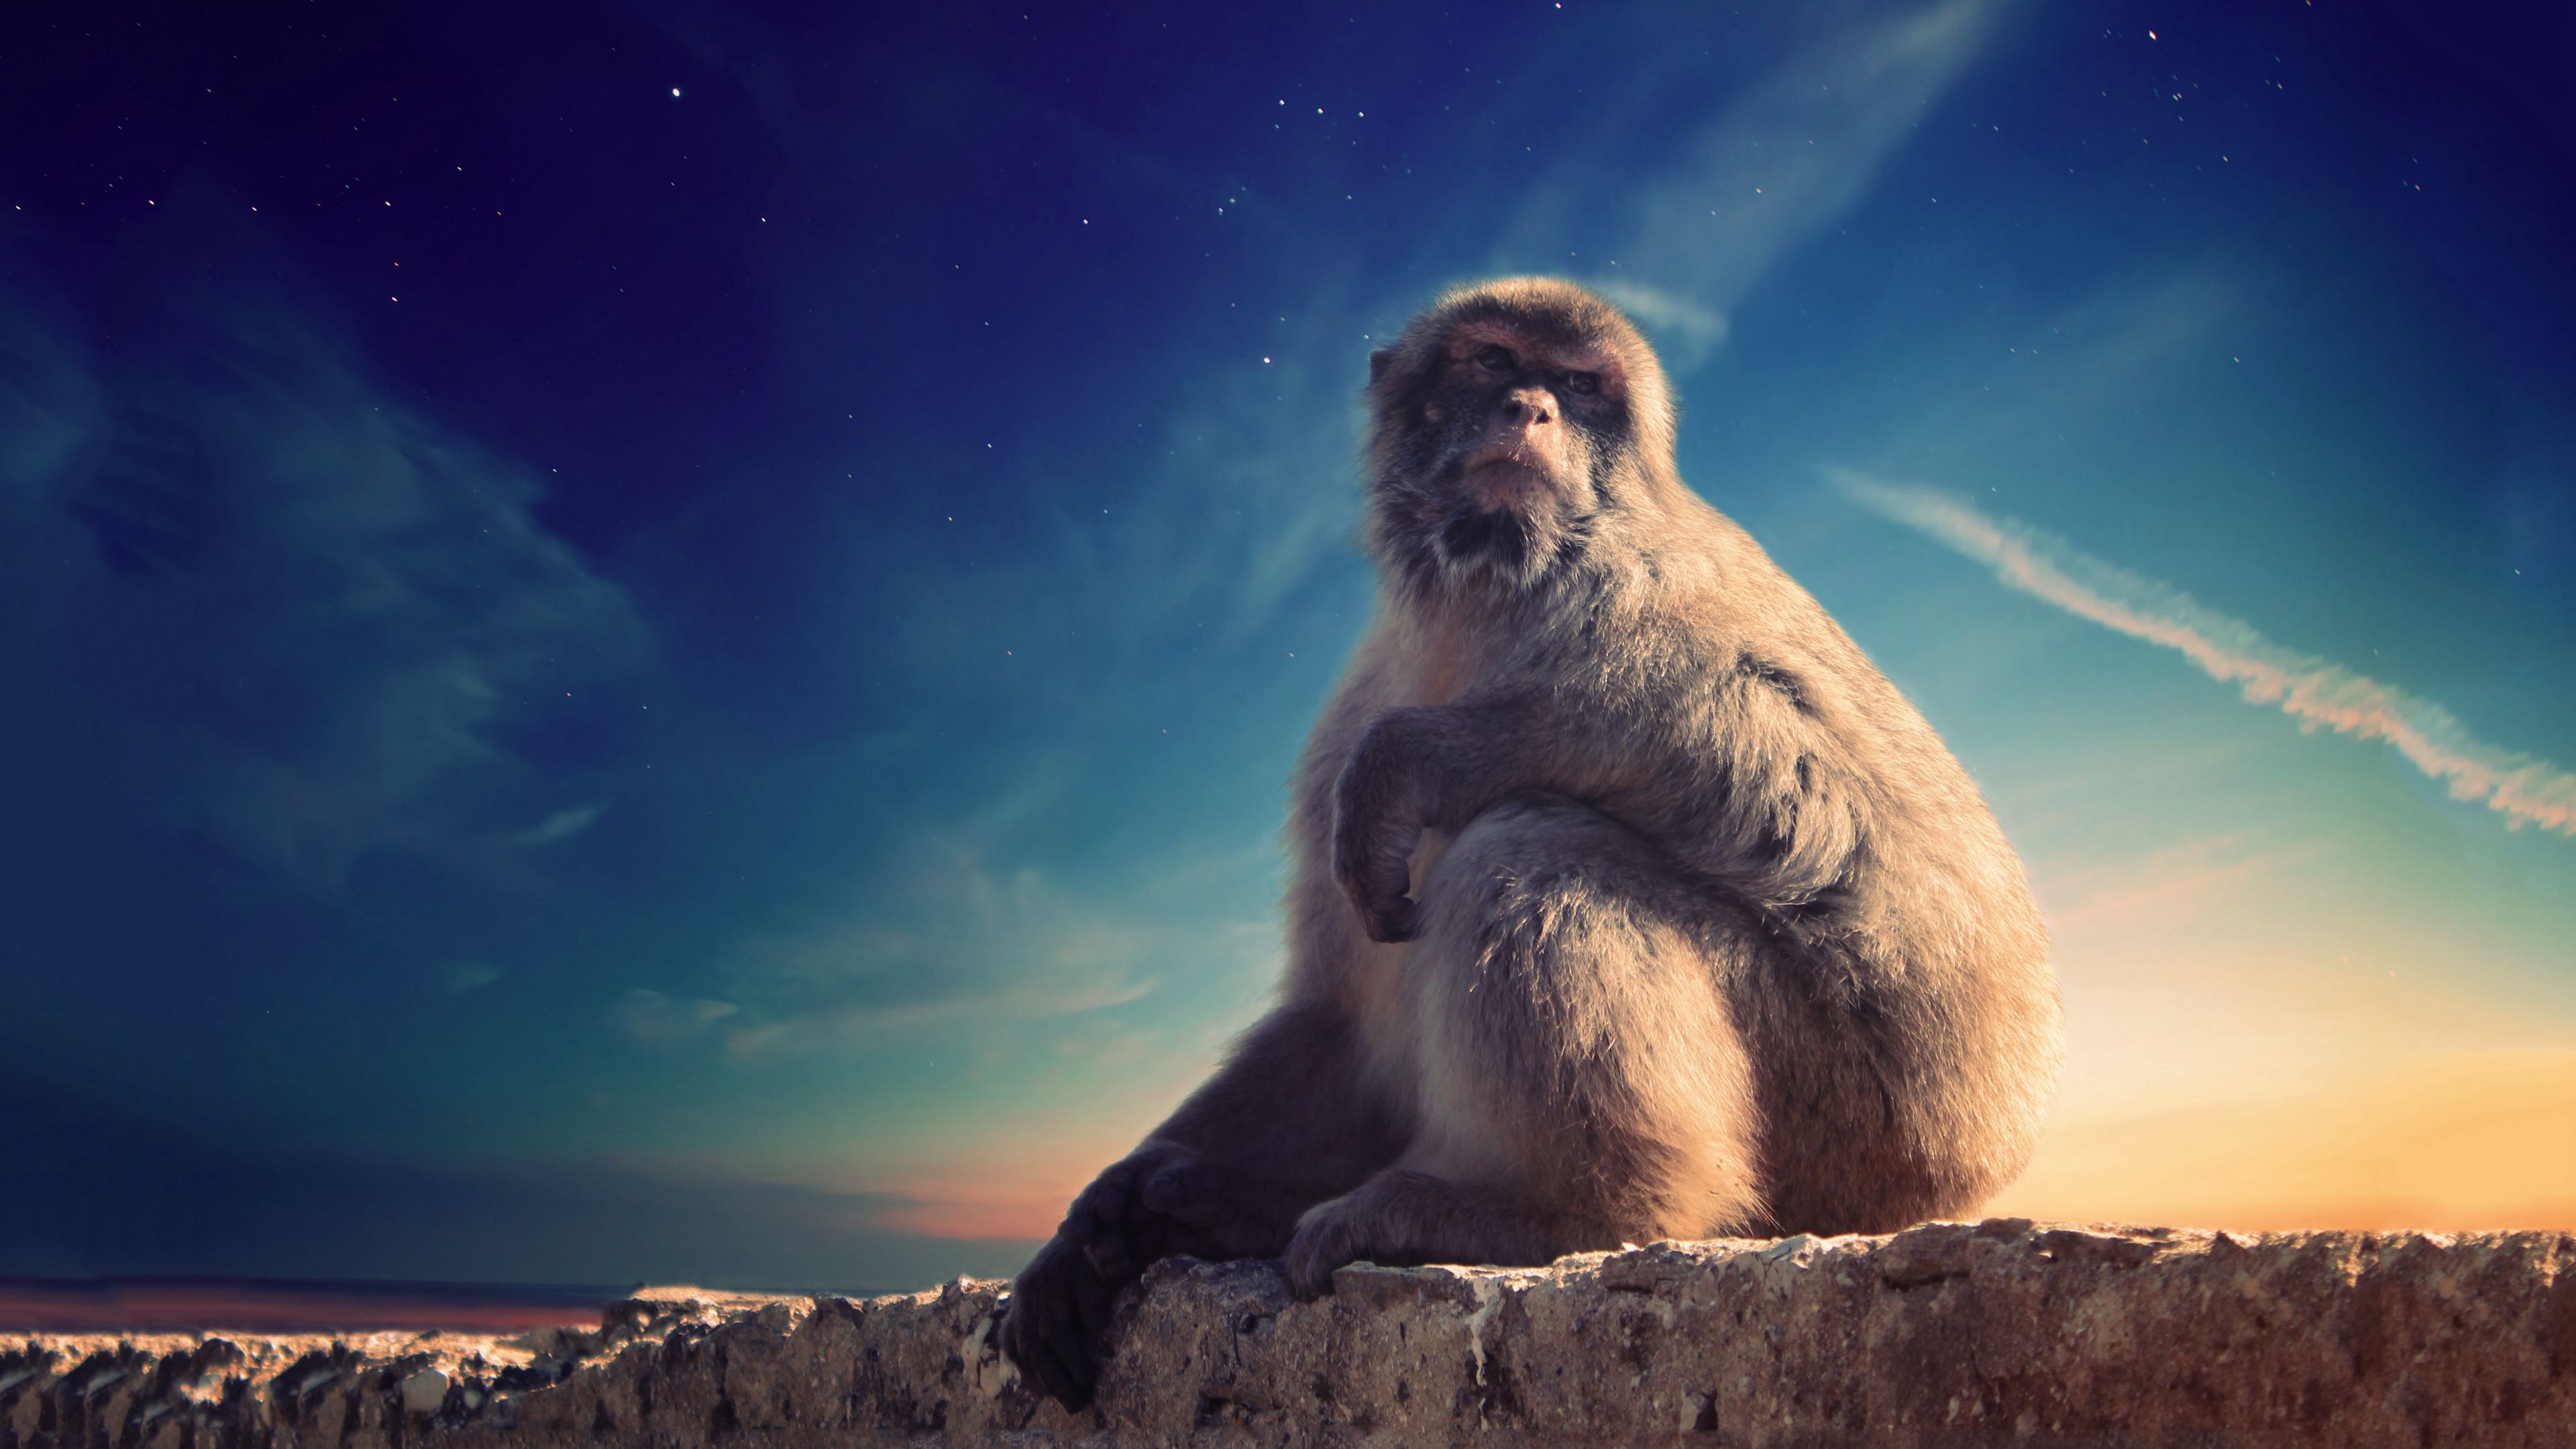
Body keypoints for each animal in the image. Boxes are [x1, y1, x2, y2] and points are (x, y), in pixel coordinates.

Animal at [997, 277, 2062, 1411]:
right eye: (1493, 361)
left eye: (1584, 386)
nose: (1532, 410)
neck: (1479, 592)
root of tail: (1964, 1167)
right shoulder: (1351, 705)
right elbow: (1338, 1017)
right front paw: (1102, 1216)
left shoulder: (1643, 580)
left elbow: (1791, 763)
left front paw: (1416, 758)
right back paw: (1225, 1206)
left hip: (1843, 1123)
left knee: (1525, 844)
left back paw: (1560, 1212)